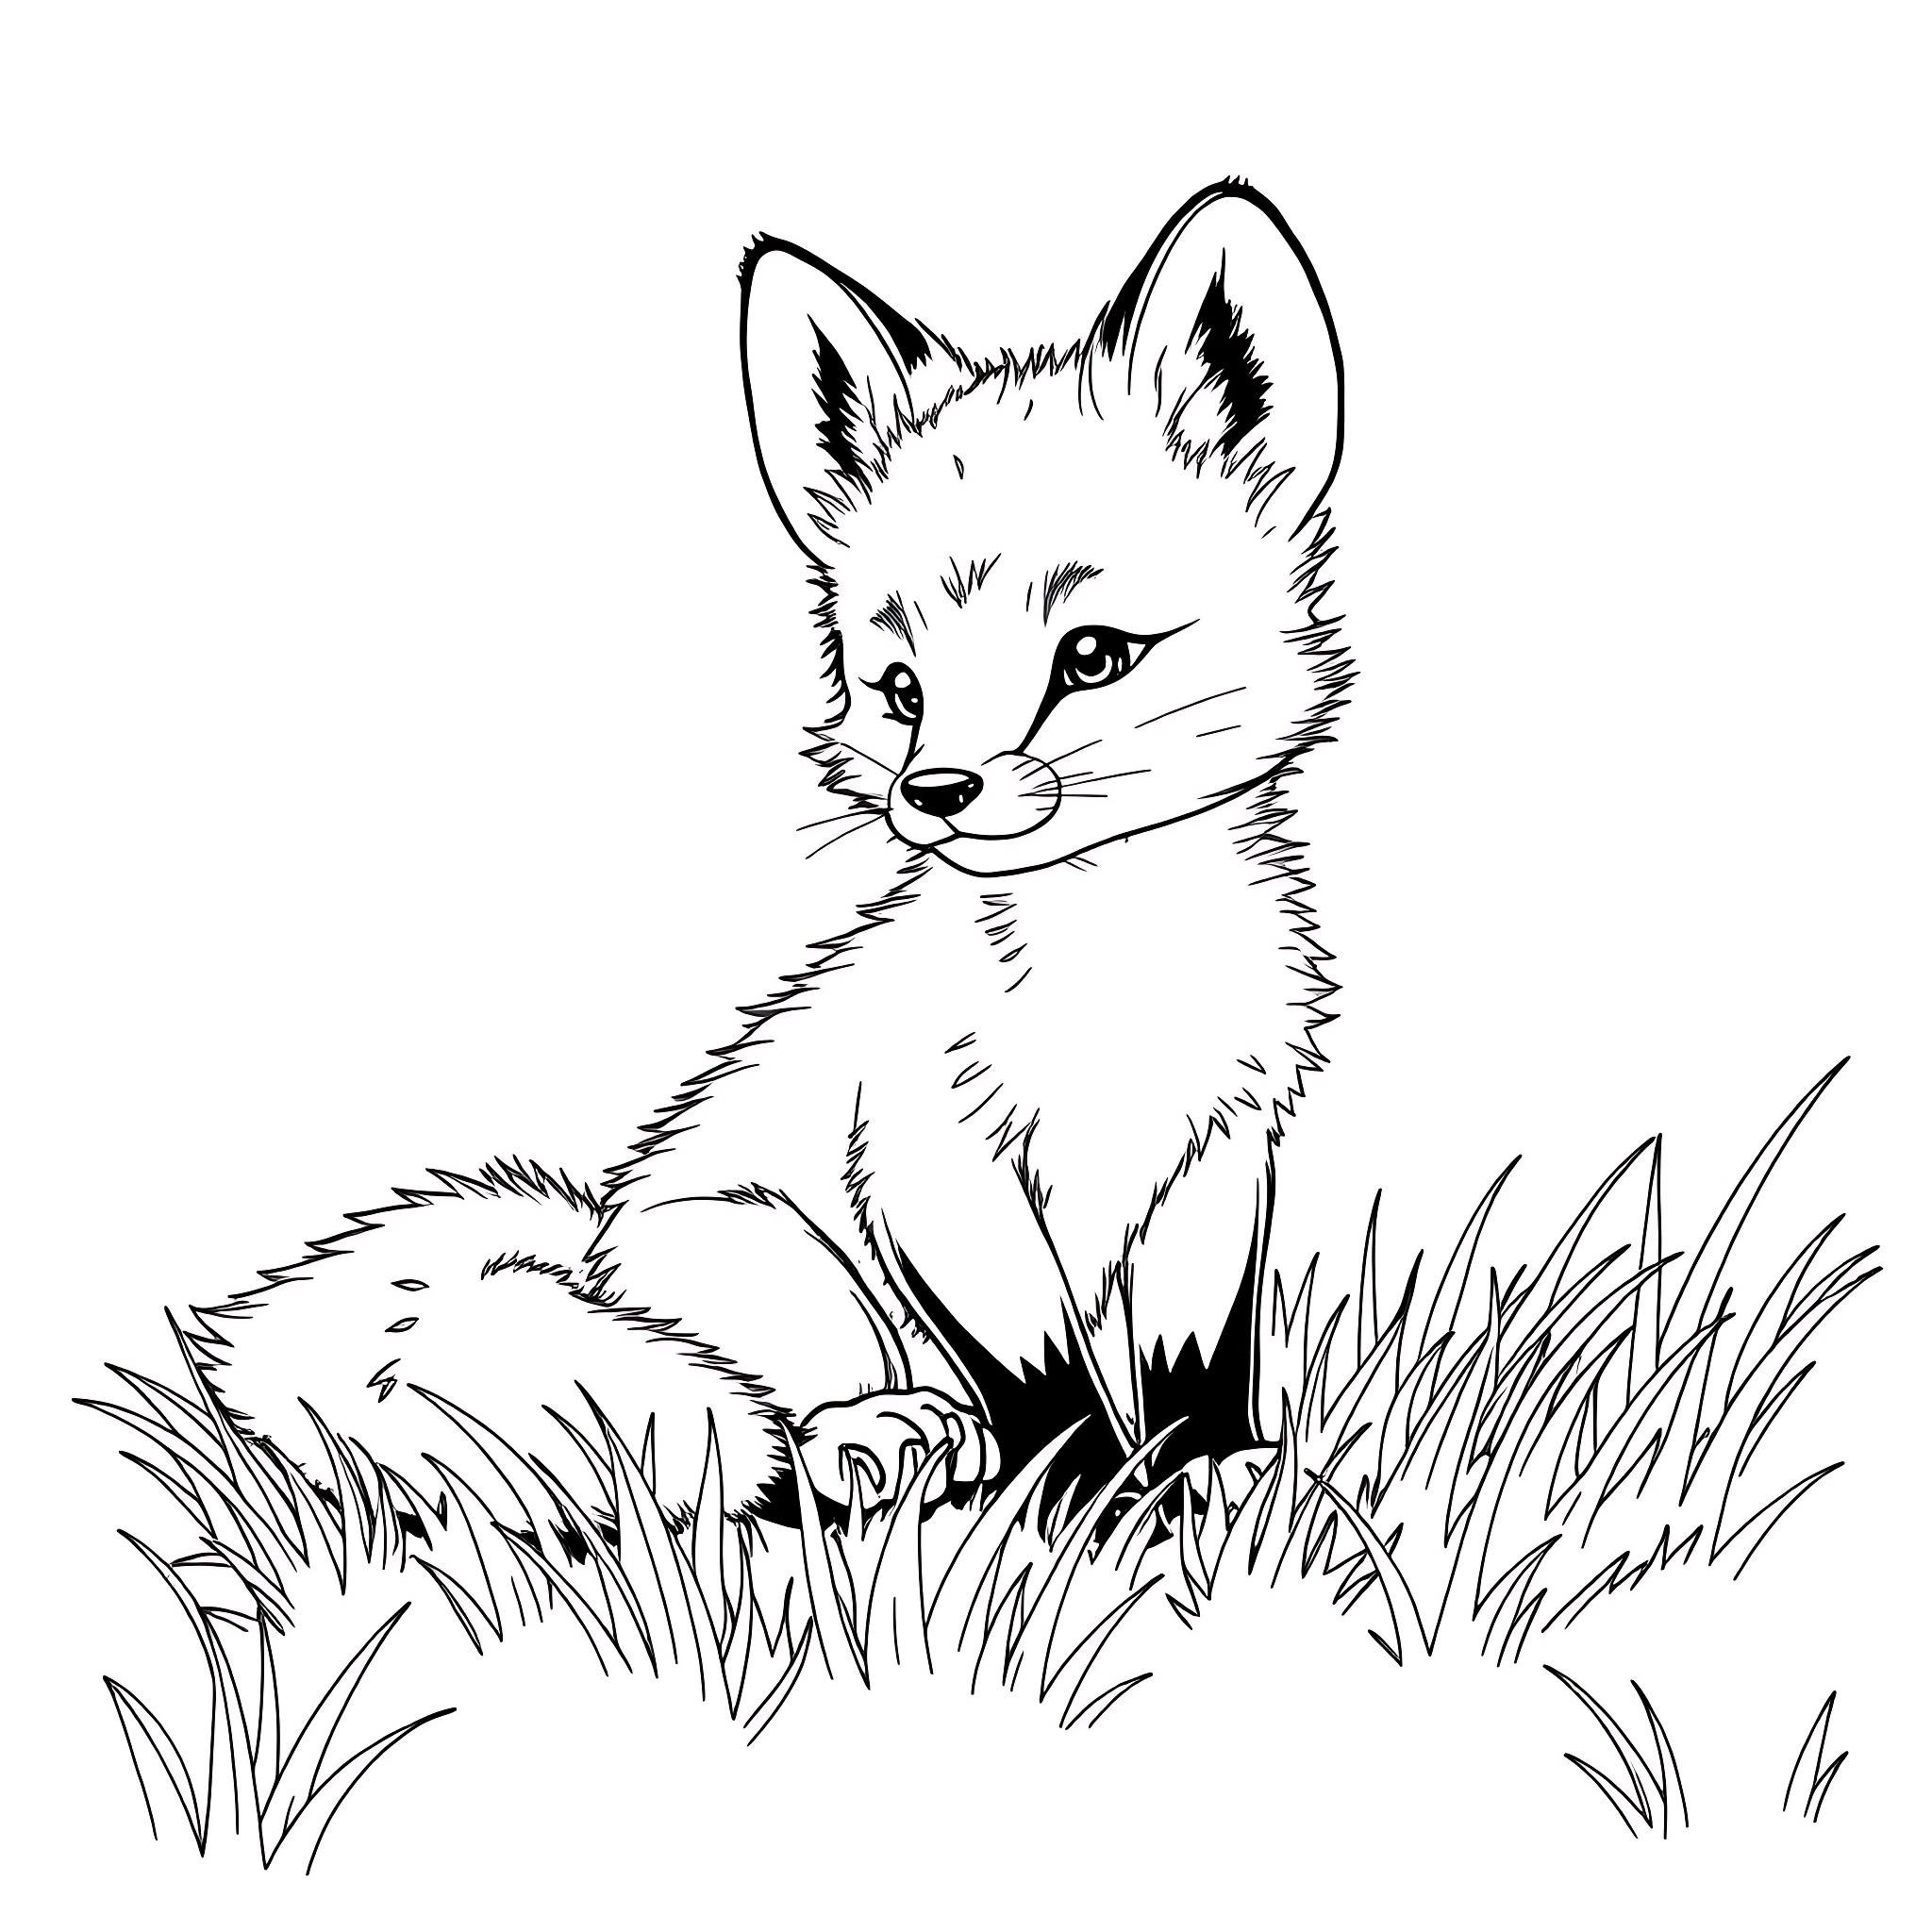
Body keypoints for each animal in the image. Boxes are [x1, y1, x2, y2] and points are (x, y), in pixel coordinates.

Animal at [196, 179, 1349, 1534]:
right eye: (901, 688)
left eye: (1093, 656)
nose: (933, 795)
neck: (1108, 991)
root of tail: (586, 1246)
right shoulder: (929, 1165)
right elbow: (1039, 1374)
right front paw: (1078, 1499)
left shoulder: (1212, 1160)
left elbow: (1196, 1361)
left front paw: (1207, 1476)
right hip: (784, 1259)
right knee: (769, 1429)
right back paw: (879, 1446)